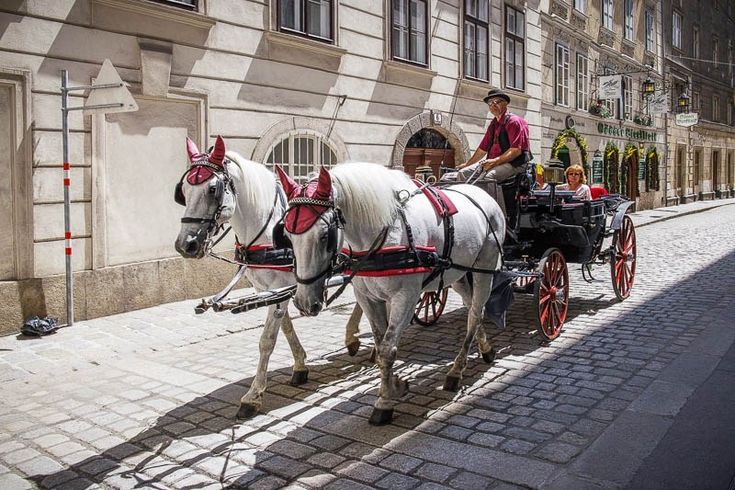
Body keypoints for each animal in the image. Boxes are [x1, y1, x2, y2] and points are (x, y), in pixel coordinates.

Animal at [176, 136, 366, 420]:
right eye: (184, 190)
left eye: (212, 189)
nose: (185, 245)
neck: (266, 231)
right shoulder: (270, 289)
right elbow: (285, 328)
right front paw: (300, 366)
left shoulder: (283, 288)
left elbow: (267, 340)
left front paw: (253, 396)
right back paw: (353, 338)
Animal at [276, 163, 506, 424]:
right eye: (288, 236)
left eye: (325, 235)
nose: (305, 303)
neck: (381, 237)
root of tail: (482, 194)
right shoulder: (367, 297)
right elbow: (380, 342)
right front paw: (395, 383)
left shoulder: (406, 297)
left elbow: (387, 349)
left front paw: (384, 403)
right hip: (455, 273)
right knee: (470, 308)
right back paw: (485, 348)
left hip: (485, 268)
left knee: (476, 313)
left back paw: (456, 371)